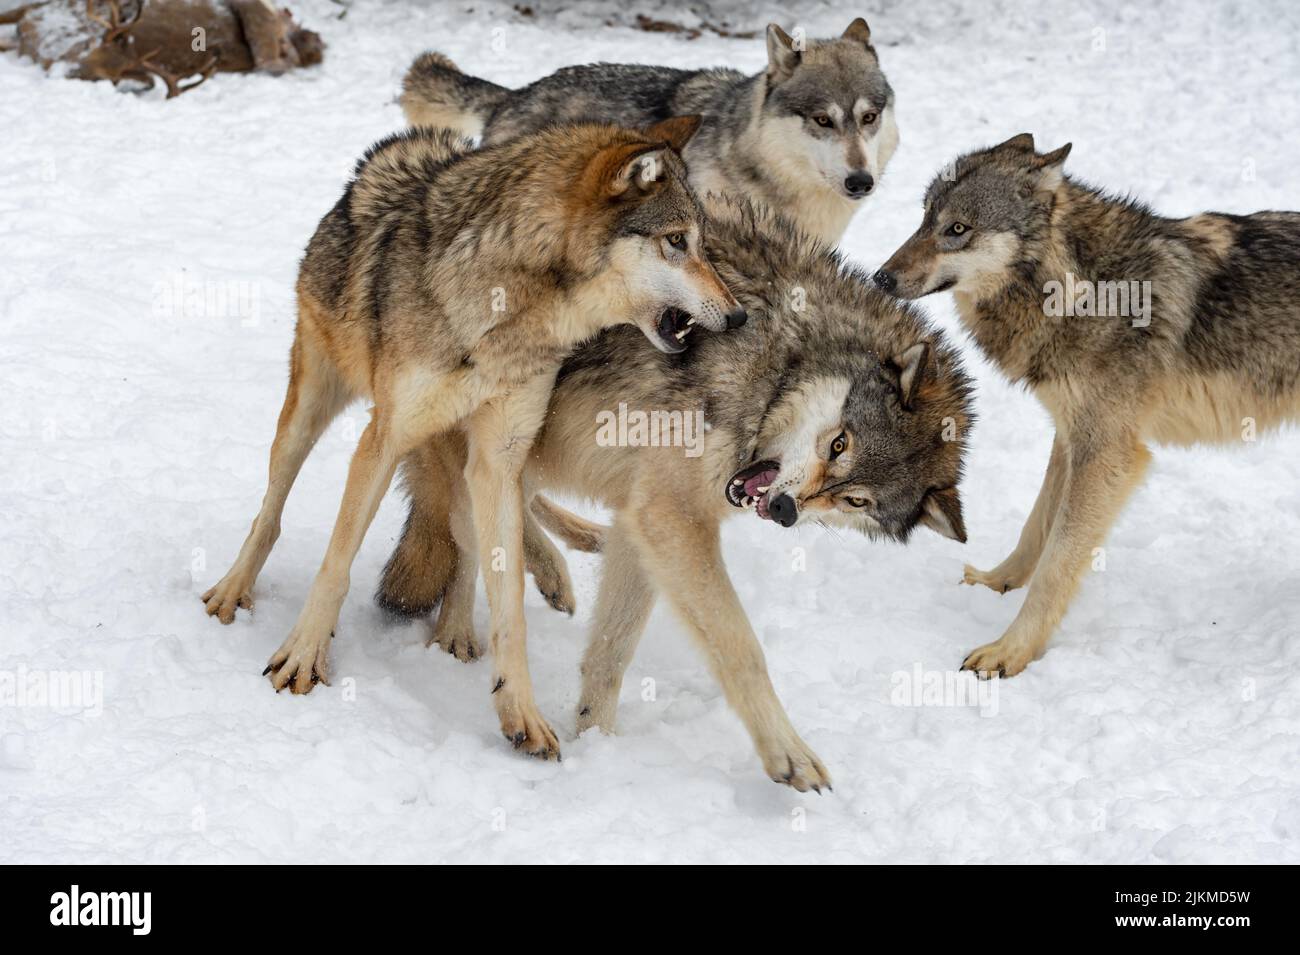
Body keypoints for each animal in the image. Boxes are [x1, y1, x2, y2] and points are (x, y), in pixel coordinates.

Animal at [200, 118, 746, 759]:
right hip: (311, 407)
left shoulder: (500, 454)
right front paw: (304, 658)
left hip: (463, 455)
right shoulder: (384, 438)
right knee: (271, 509)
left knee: (473, 539)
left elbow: (509, 607)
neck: (509, 310)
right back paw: (231, 591)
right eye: (677, 241)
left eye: (701, 243)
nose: (738, 316)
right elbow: (336, 564)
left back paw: (471, 621)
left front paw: (522, 712)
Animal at [376, 198, 974, 788]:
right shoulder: (671, 518)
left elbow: (610, 654)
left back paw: (548, 573)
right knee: (471, 531)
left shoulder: (643, 522)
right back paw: (477, 621)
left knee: (505, 516)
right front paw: (789, 753)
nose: (784, 510)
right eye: (839, 443)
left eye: (856, 501)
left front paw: (597, 744)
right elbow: (741, 647)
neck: (782, 359)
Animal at [874, 133, 1300, 677]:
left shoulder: (1108, 453)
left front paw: (1010, 651)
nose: (882, 278)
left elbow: (1058, 563)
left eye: (958, 230)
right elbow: (1036, 526)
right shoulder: (1071, 435)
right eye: (925, 218)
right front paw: (996, 582)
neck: (1081, 286)